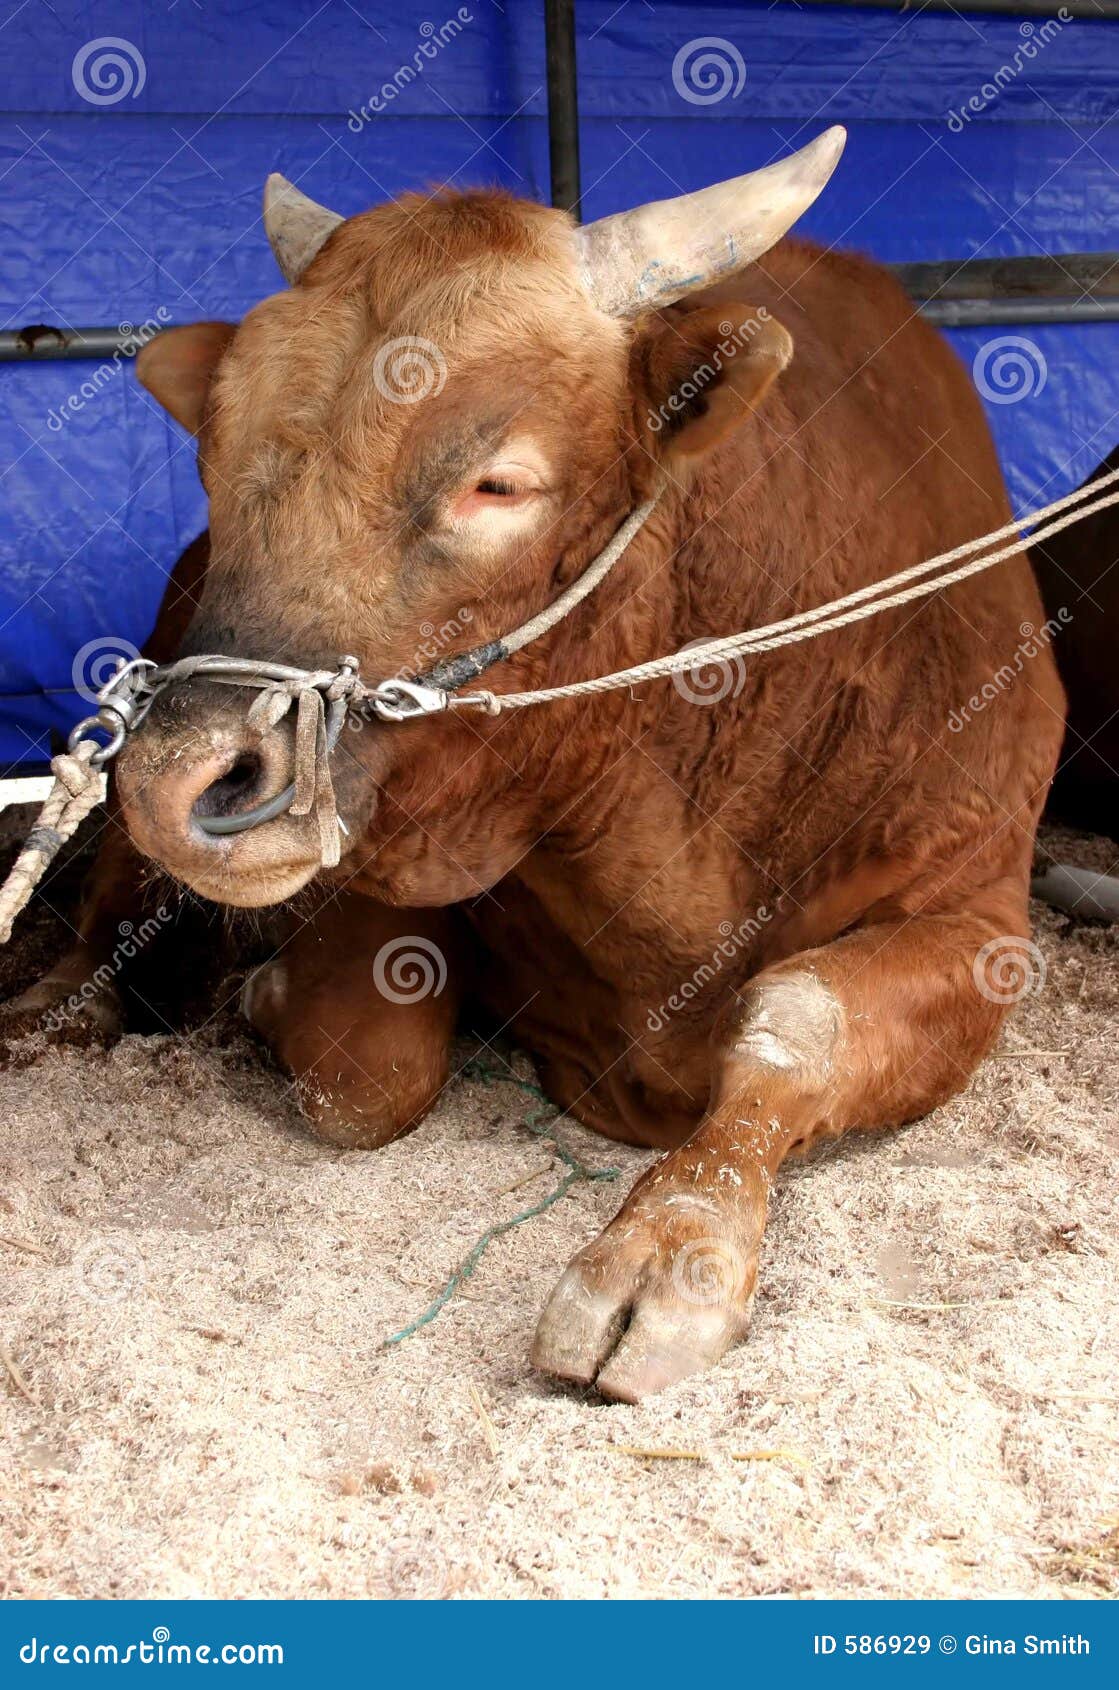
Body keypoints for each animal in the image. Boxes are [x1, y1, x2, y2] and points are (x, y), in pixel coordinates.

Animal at [1, 129, 1065, 1401]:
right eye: (214, 453)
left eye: (496, 482)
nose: (184, 777)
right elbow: (371, 1064)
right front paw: (256, 992)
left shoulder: (980, 903)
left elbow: (796, 1018)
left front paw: (671, 1248)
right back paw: (49, 1020)